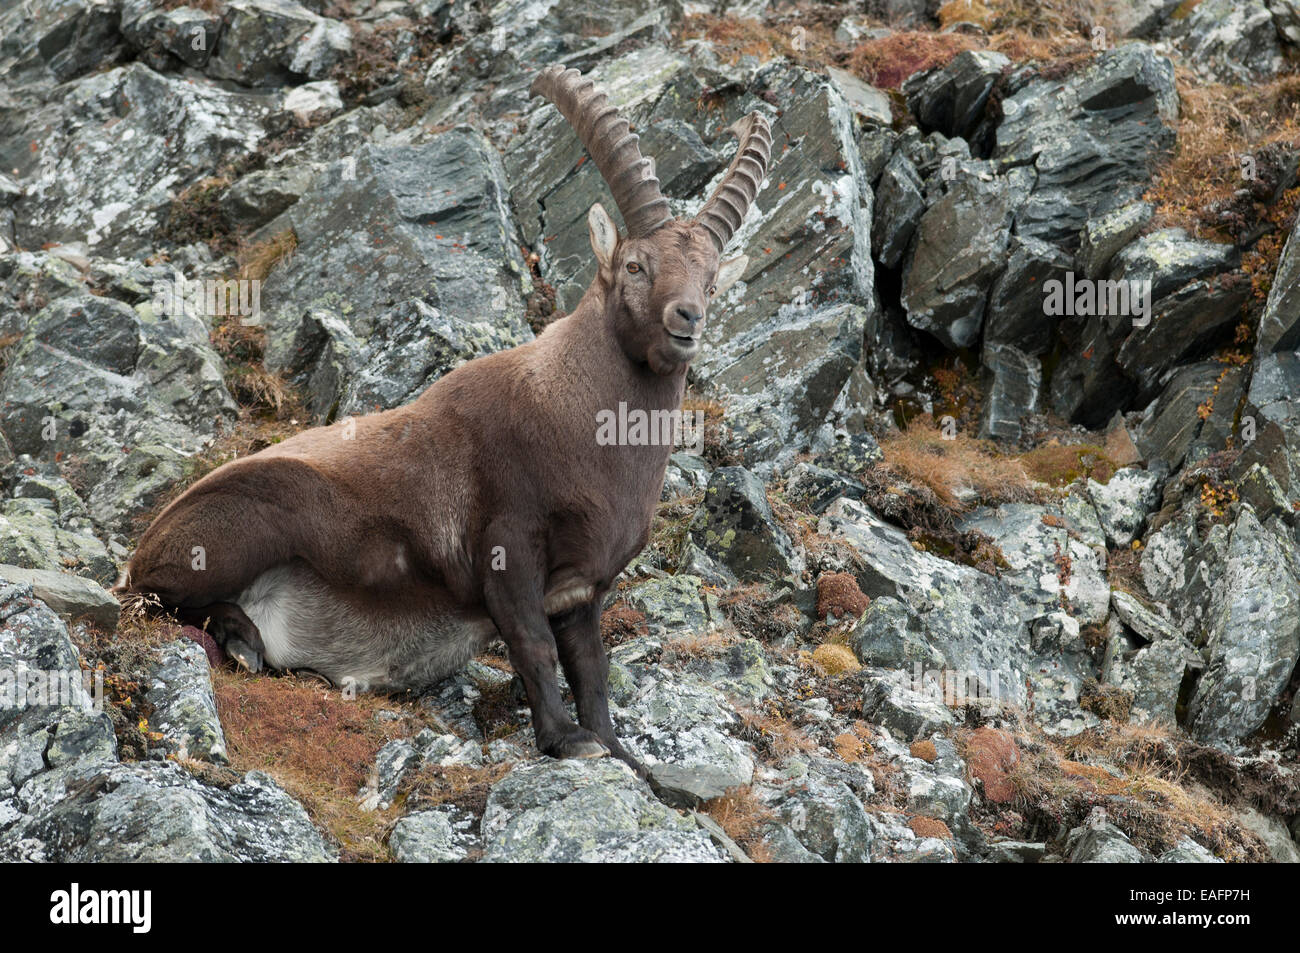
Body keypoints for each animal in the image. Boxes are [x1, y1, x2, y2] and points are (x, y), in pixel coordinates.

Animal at [117, 65, 772, 769]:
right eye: (635, 265)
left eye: (712, 281)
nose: (688, 319)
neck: (585, 428)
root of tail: (148, 539)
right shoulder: (508, 550)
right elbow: (535, 646)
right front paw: (564, 740)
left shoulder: (581, 588)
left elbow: (591, 668)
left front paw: (615, 749)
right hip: (248, 522)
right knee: (157, 602)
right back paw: (241, 640)